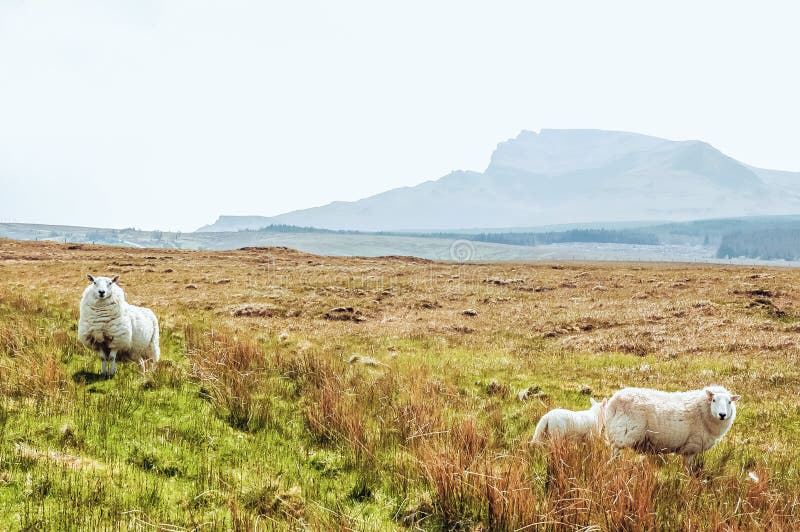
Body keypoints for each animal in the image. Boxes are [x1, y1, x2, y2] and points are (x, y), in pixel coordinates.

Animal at [604, 385, 740, 468]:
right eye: (713, 400)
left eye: (729, 402)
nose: (722, 415)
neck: (702, 411)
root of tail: (614, 401)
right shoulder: (691, 446)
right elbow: (687, 469)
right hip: (622, 434)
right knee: (614, 453)